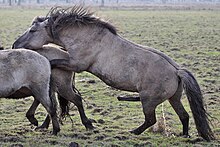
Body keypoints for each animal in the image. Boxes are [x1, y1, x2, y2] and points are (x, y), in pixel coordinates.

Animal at [11, 6, 214, 141]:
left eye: (32, 30)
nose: (15, 45)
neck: (84, 35)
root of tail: (177, 71)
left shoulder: (76, 64)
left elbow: (54, 66)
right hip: (174, 98)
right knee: (184, 116)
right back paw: (184, 135)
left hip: (149, 100)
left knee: (151, 119)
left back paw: (134, 132)